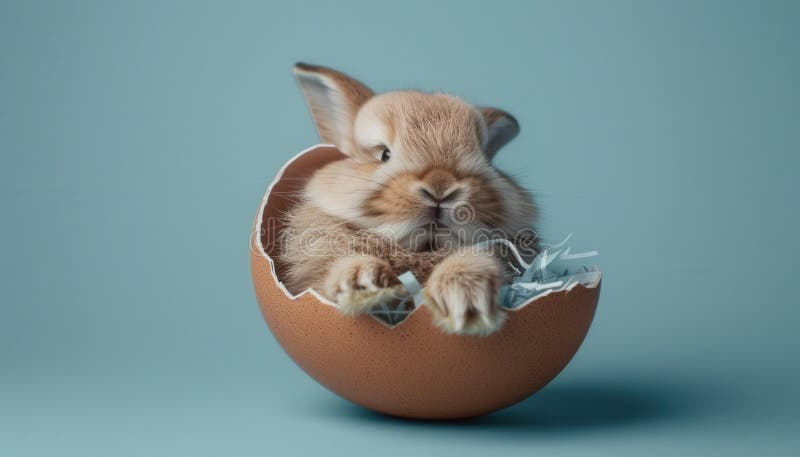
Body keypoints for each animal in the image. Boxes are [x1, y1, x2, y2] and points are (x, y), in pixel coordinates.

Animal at [278, 62, 538, 335]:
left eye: (485, 159)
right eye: (384, 154)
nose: (440, 187)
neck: (421, 249)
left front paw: (464, 296)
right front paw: (361, 282)